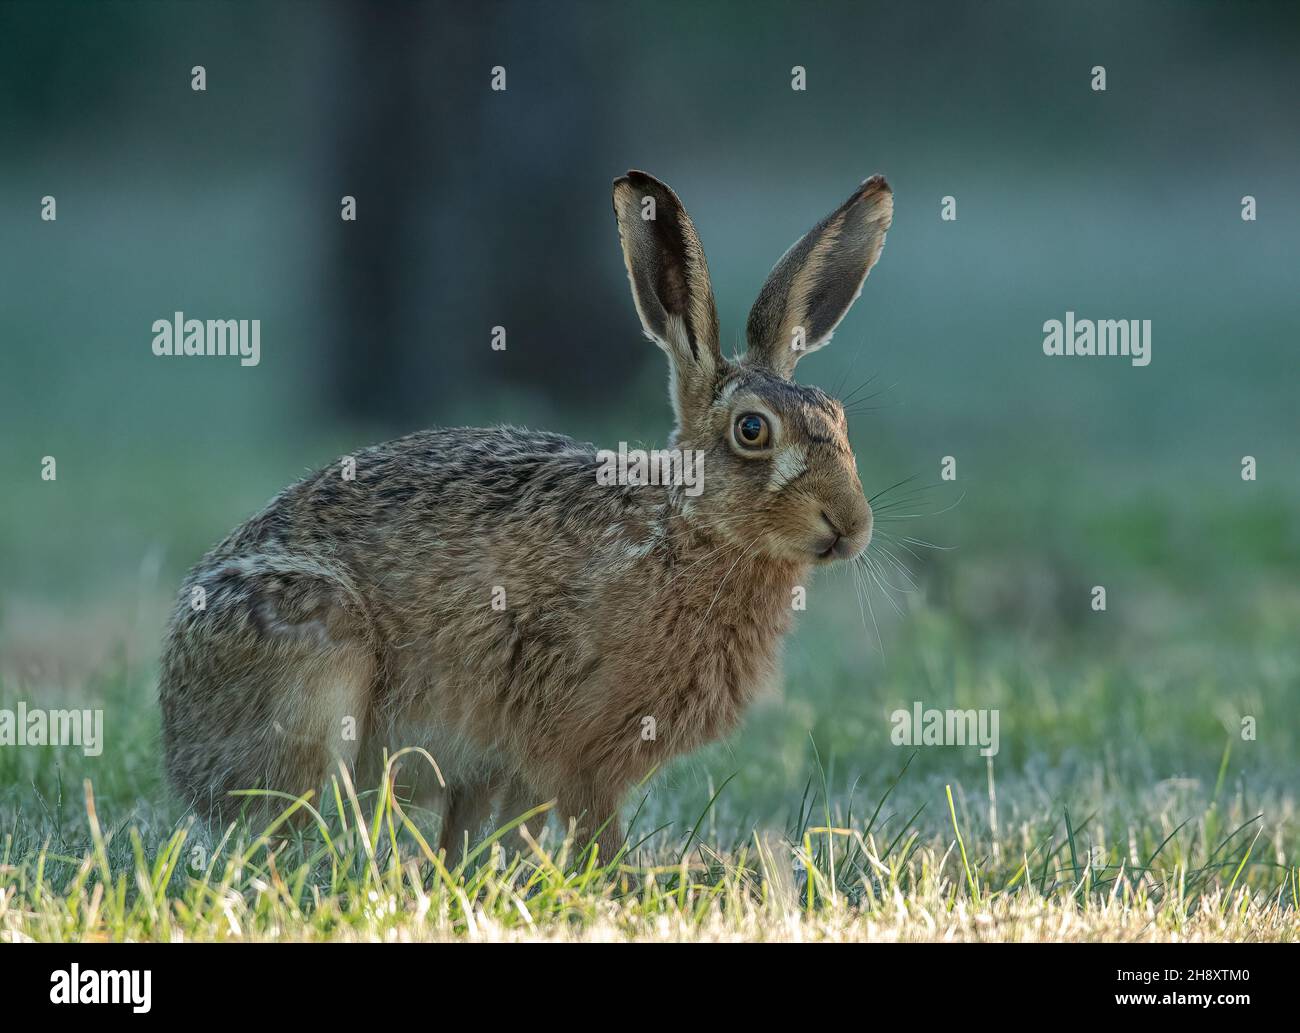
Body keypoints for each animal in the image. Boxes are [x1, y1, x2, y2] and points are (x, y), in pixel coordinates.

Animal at [159, 170, 893, 864]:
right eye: (752, 430)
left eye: (838, 418)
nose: (851, 525)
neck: (687, 528)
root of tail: (178, 742)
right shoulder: (577, 753)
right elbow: (594, 834)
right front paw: (617, 886)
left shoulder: (526, 766)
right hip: (318, 663)